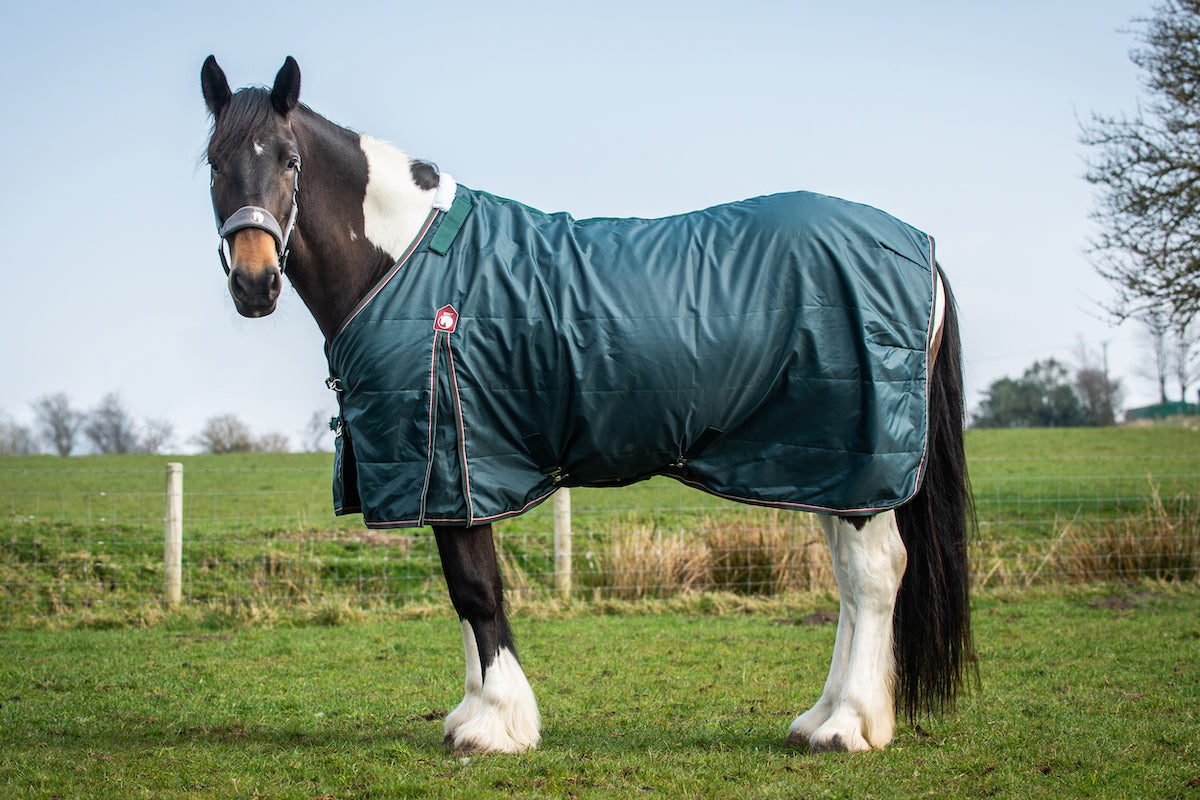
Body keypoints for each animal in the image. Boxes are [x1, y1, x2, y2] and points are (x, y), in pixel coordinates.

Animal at [200, 55, 973, 756]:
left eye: (291, 161)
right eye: (212, 164)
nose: (255, 282)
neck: (406, 263)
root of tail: (919, 249)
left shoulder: (455, 463)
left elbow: (475, 589)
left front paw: (494, 726)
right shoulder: (458, 472)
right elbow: (467, 592)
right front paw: (476, 713)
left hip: (861, 463)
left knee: (874, 577)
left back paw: (849, 728)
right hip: (828, 467)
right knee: (849, 582)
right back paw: (824, 719)